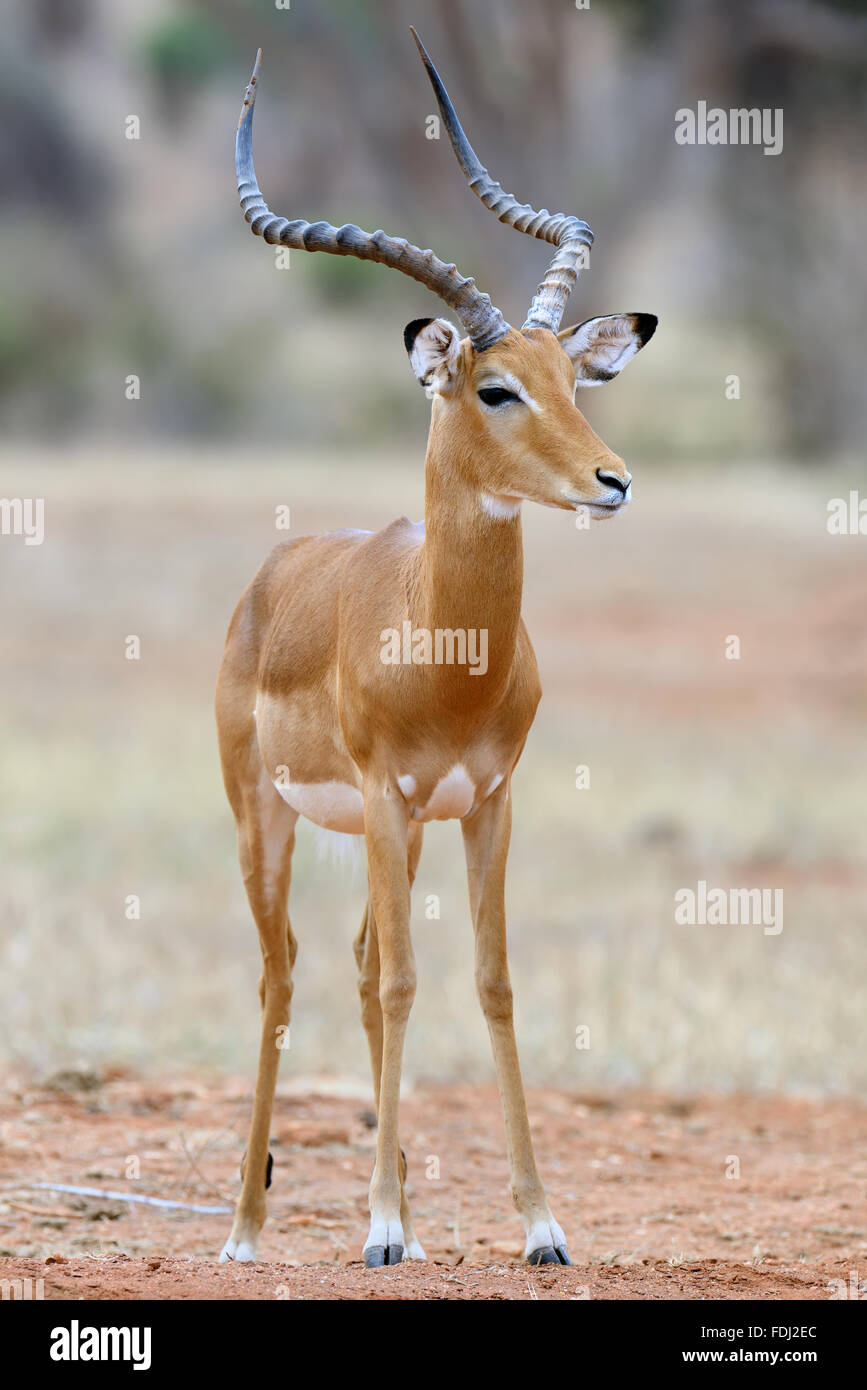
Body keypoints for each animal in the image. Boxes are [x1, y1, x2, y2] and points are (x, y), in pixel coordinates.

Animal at [216, 28, 656, 1270]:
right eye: (496, 388)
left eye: (573, 379)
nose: (613, 481)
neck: (447, 647)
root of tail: (276, 570)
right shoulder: (387, 792)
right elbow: (409, 980)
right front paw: (374, 1227)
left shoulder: (486, 799)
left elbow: (489, 981)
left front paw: (541, 1224)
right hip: (272, 818)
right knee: (284, 974)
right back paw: (250, 1225)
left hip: (393, 832)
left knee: (363, 966)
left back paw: (399, 1207)